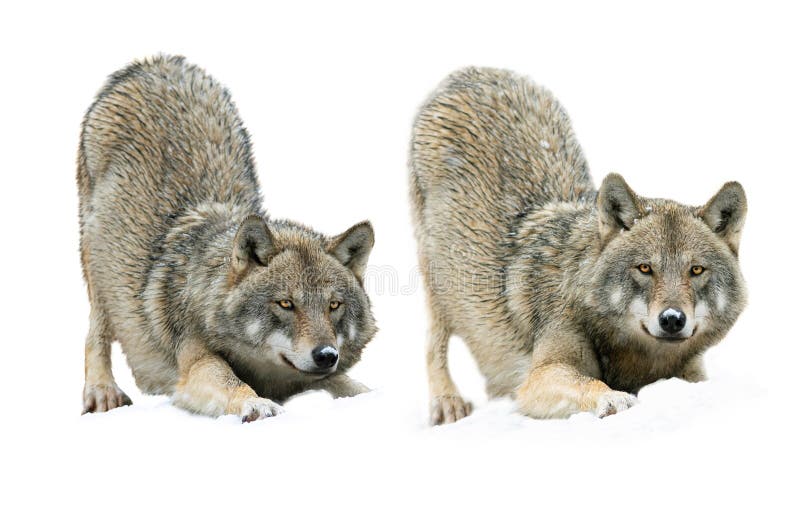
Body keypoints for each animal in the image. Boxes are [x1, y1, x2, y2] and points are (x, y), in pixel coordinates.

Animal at [78, 55, 376, 421]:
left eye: (334, 305)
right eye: (285, 304)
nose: (326, 355)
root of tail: (157, 61)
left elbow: (349, 384)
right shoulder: (195, 362)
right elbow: (232, 382)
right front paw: (257, 403)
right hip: (96, 261)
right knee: (96, 329)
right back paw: (101, 392)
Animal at [410, 67, 747, 423]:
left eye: (696, 270)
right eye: (645, 268)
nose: (672, 319)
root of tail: (476, 71)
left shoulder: (693, 371)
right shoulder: (540, 375)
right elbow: (589, 383)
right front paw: (615, 399)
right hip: (439, 280)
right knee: (434, 343)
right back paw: (447, 403)